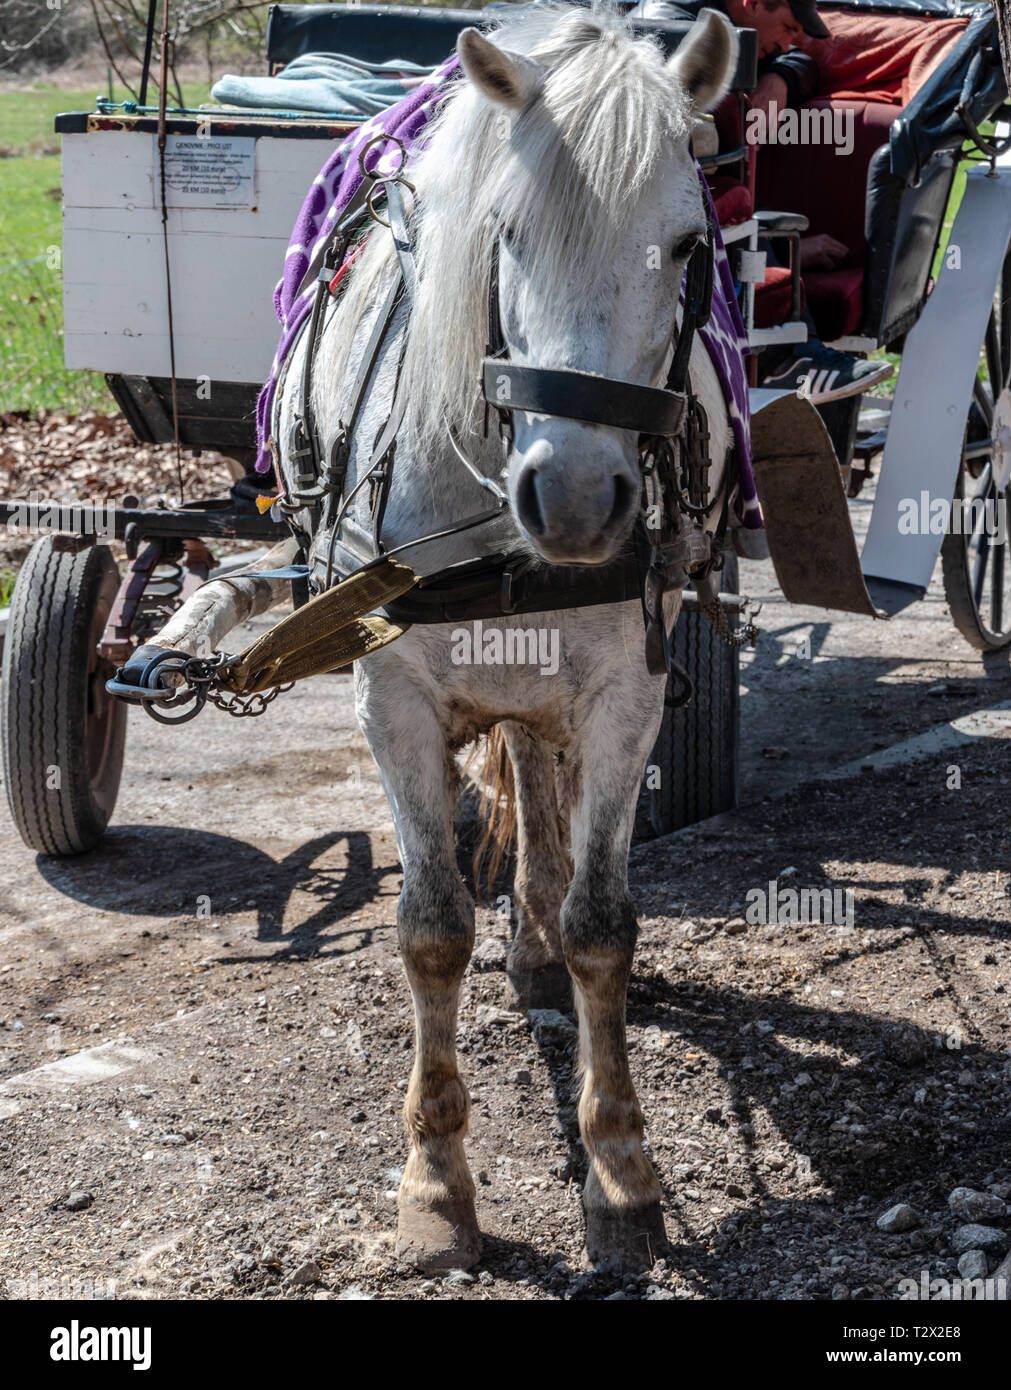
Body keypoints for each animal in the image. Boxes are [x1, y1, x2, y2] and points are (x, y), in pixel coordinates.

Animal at [147, 4, 738, 1272]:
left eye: (686, 248)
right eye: (505, 235)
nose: (578, 500)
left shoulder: (629, 689)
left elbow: (603, 921)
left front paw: (620, 1167)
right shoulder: (394, 696)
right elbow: (428, 931)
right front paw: (436, 1182)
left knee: (541, 798)